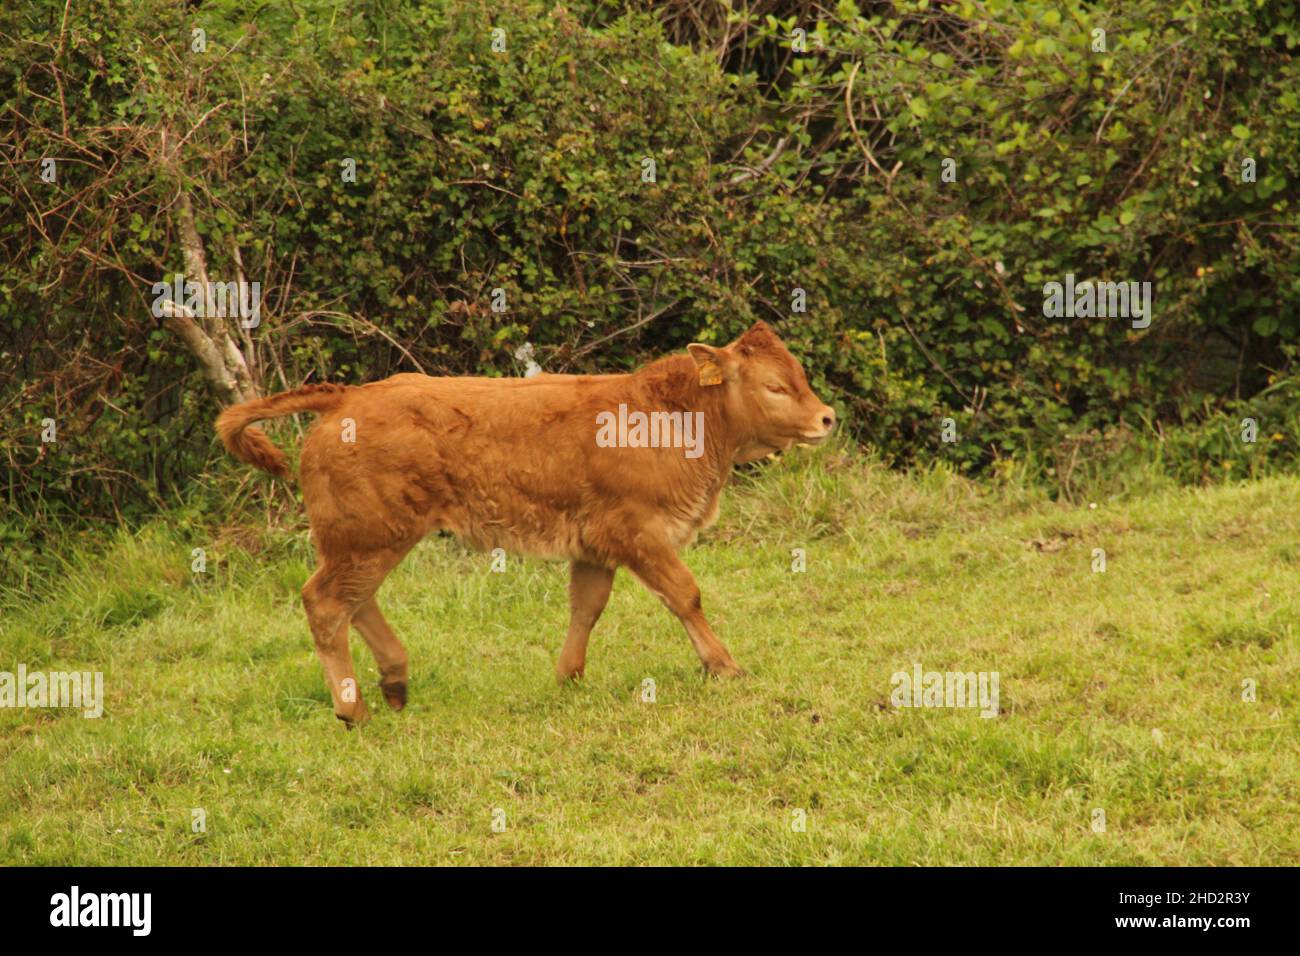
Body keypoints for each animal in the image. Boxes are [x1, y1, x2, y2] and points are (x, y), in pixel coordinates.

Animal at [216, 320, 835, 726]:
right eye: (775, 386)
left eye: (799, 375)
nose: (828, 418)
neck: (673, 415)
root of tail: (345, 398)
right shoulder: (638, 532)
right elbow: (686, 594)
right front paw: (724, 666)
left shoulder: (594, 544)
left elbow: (587, 607)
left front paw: (569, 677)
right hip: (368, 537)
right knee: (326, 602)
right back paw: (354, 709)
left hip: (363, 539)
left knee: (353, 600)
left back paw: (394, 679)